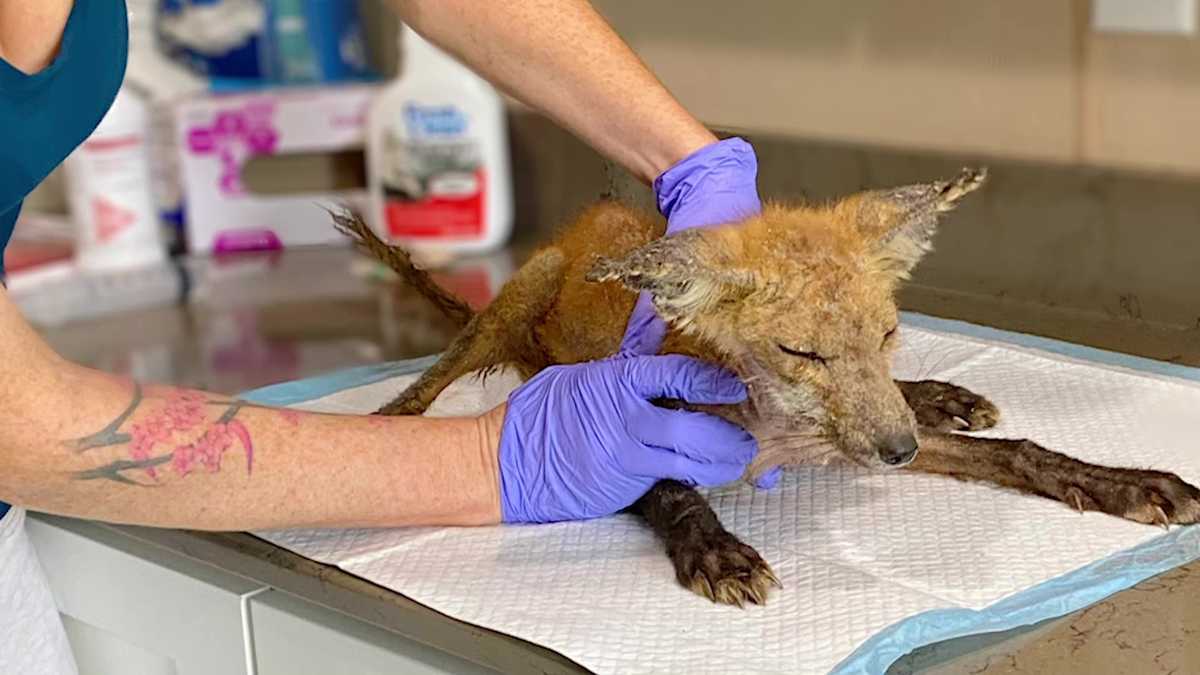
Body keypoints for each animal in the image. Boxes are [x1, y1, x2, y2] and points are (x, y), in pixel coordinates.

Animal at [334, 168, 1200, 607]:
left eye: (887, 333)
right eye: (801, 351)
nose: (898, 452)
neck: (779, 430)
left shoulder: (856, 431)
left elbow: (1022, 451)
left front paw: (1122, 481)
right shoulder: (639, 436)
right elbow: (675, 493)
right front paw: (715, 550)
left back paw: (936, 395)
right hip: (521, 295)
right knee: (438, 372)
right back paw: (403, 416)